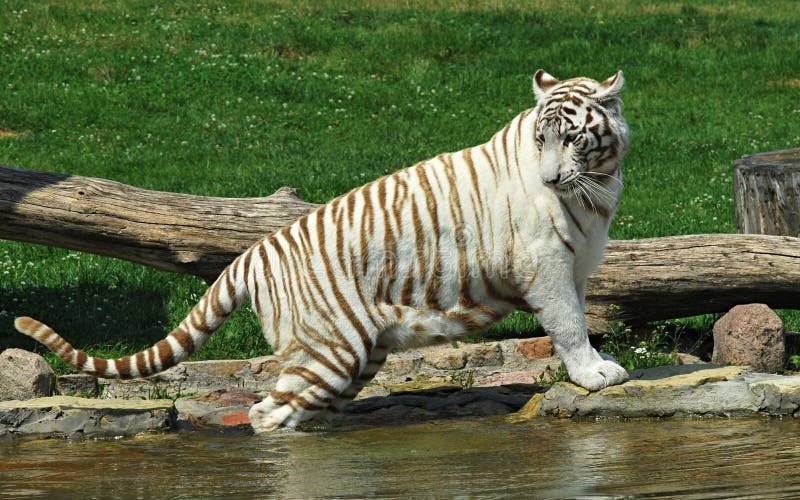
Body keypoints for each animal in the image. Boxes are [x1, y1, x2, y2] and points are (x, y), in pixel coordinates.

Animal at [15, 69, 630, 433]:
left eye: (571, 138)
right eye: (540, 139)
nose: (550, 179)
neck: (598, 183)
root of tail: (250, 255)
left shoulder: (577, 264)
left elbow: (580, 317)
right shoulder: (547, 266)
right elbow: (570, 325)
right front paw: (596, 375)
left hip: (351, 354)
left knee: (287, 407)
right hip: (329, 349)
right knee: (267, 414)